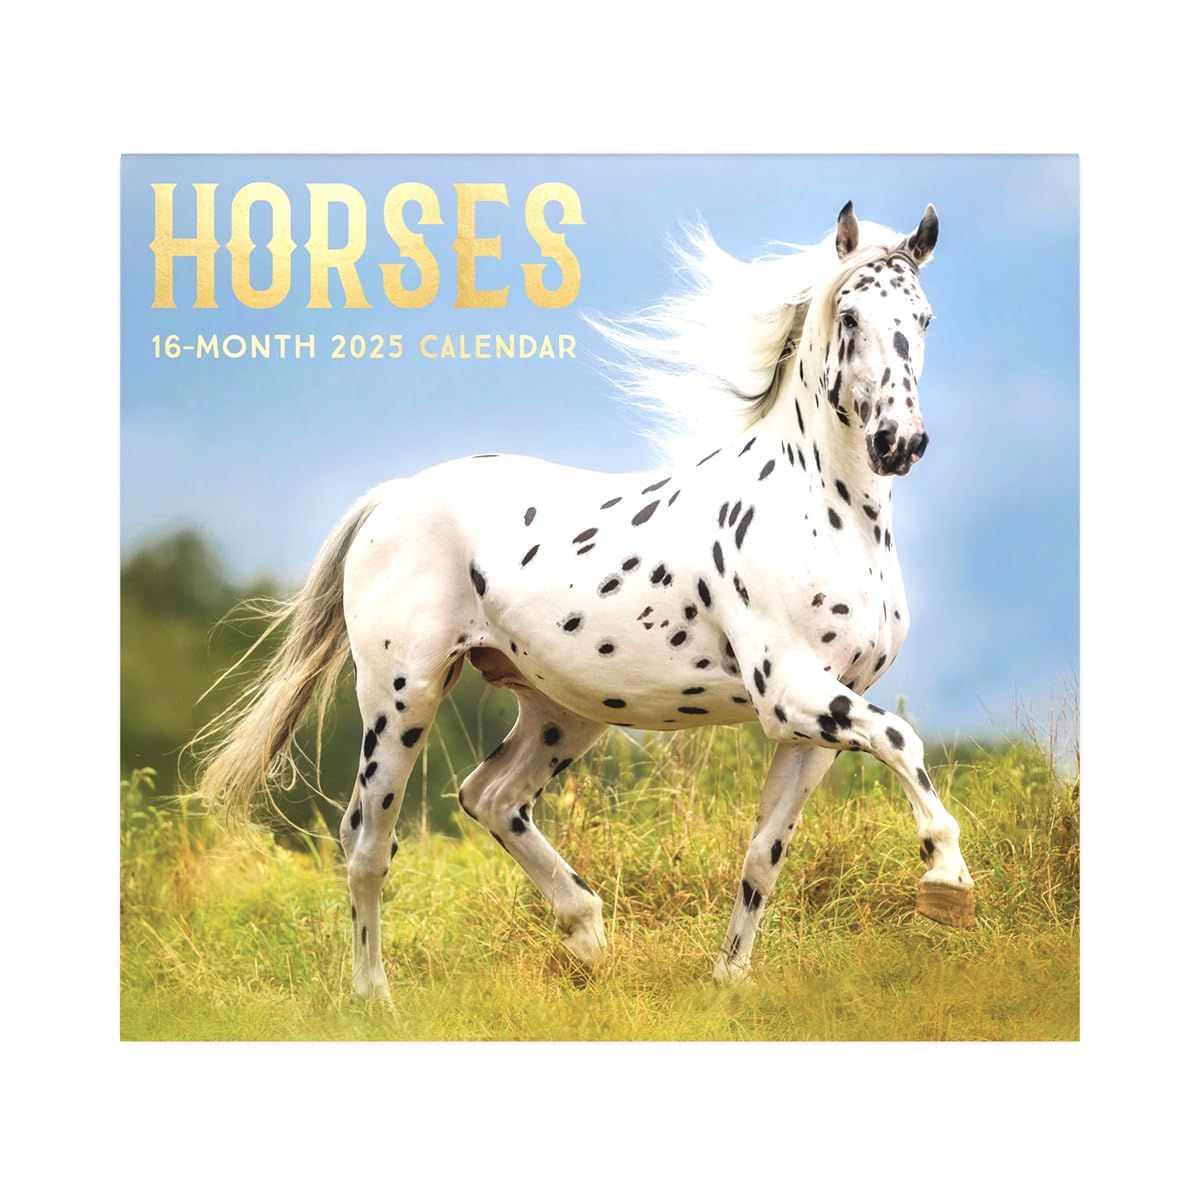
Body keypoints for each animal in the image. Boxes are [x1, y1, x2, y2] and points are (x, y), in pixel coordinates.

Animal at [196, 201, 976, 1000]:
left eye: (924, 317)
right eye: (850, 315)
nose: (899, 442)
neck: (821, 508)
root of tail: (394, 498)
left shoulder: (815, 722)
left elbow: (765, 854)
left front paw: (729, 982)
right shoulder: (790, 694)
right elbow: (901, 740)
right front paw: (947, 880)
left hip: (562, 712)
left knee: (491, 796)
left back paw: (588, 937)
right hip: (400, 698)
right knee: (367, 844)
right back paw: (375, 998)